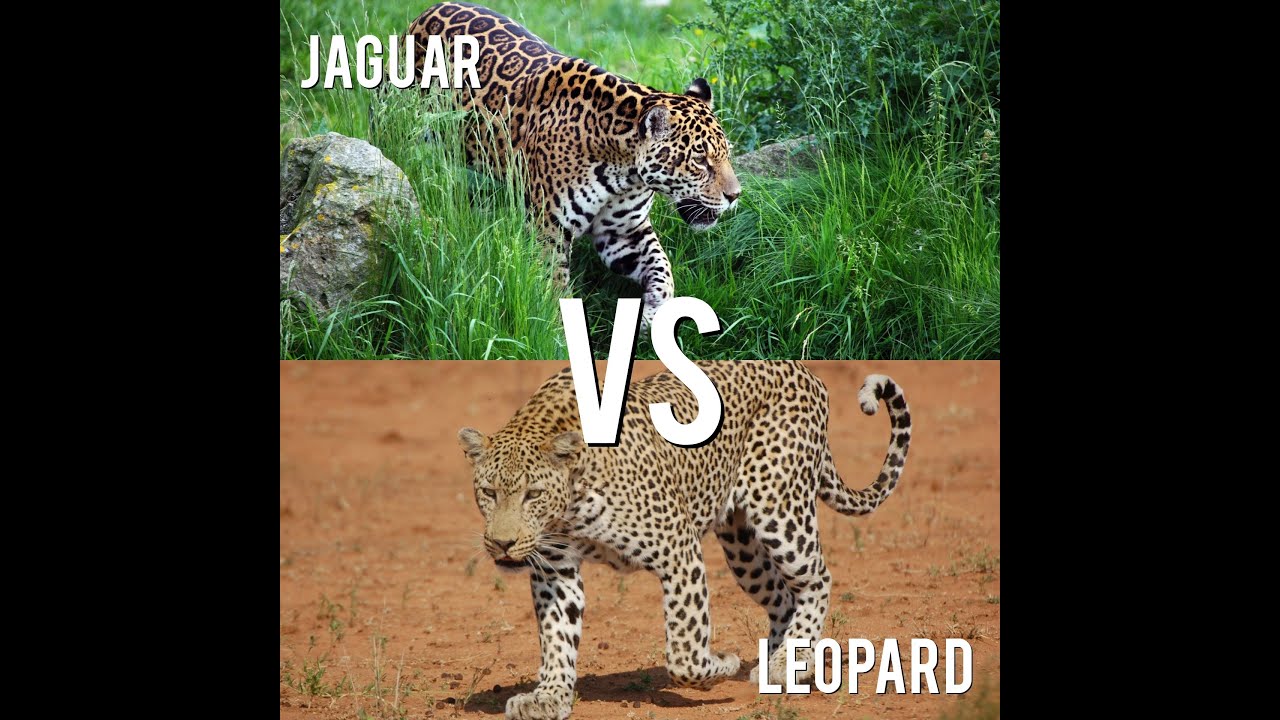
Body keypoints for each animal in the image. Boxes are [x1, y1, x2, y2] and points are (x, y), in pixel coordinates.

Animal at [406, 2, 743, 327]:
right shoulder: (549, 229)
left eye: (726, 154)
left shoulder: (624, 233)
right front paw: (558, 330)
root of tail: (430, 9)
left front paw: (653, 315)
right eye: (699, 160)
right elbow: (554, 284)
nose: (735, 196)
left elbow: (662, 268)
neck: (624, 172)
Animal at [457, 361, 911, 720]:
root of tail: (805, 372)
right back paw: (780, 664)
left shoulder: (678, 549)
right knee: (784, 598)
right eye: (488, 492)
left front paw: (720, 664)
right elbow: (557, 638)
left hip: (780, 510)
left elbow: (684, 647)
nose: (501, 544)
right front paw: (549, 698)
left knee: (818, 579)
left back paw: (786, 664)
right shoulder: (554, 569)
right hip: (742, 546)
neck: (570, 503)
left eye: (533, 494)